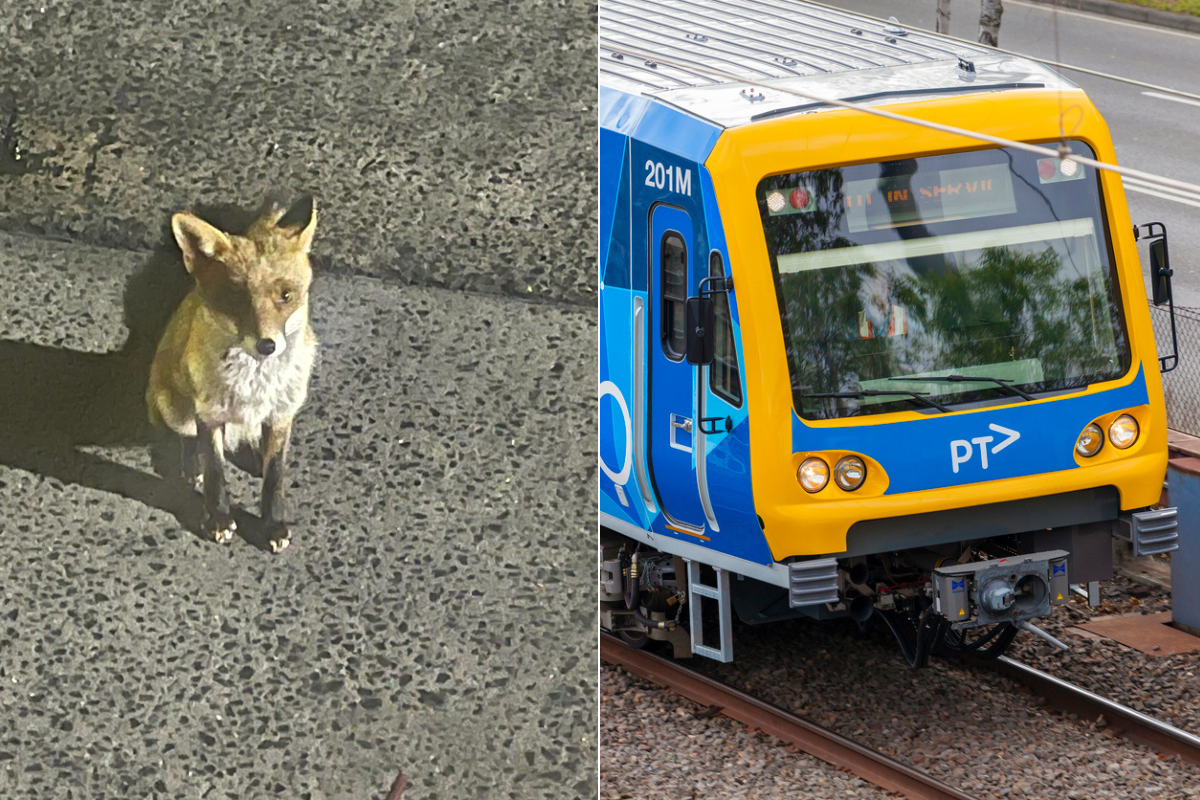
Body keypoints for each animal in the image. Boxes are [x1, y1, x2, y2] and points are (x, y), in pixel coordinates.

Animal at [146, 196, 319, 552]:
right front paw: (218, 519)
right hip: (175, 407)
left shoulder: (281, 415)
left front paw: (273, 524)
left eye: (286, 295)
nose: (267, 345)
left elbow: (275, 478)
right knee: (188, 438)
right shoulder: (210, 414)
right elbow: (215, 472)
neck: (255, 385)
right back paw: (192, 463)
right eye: (237, 297)